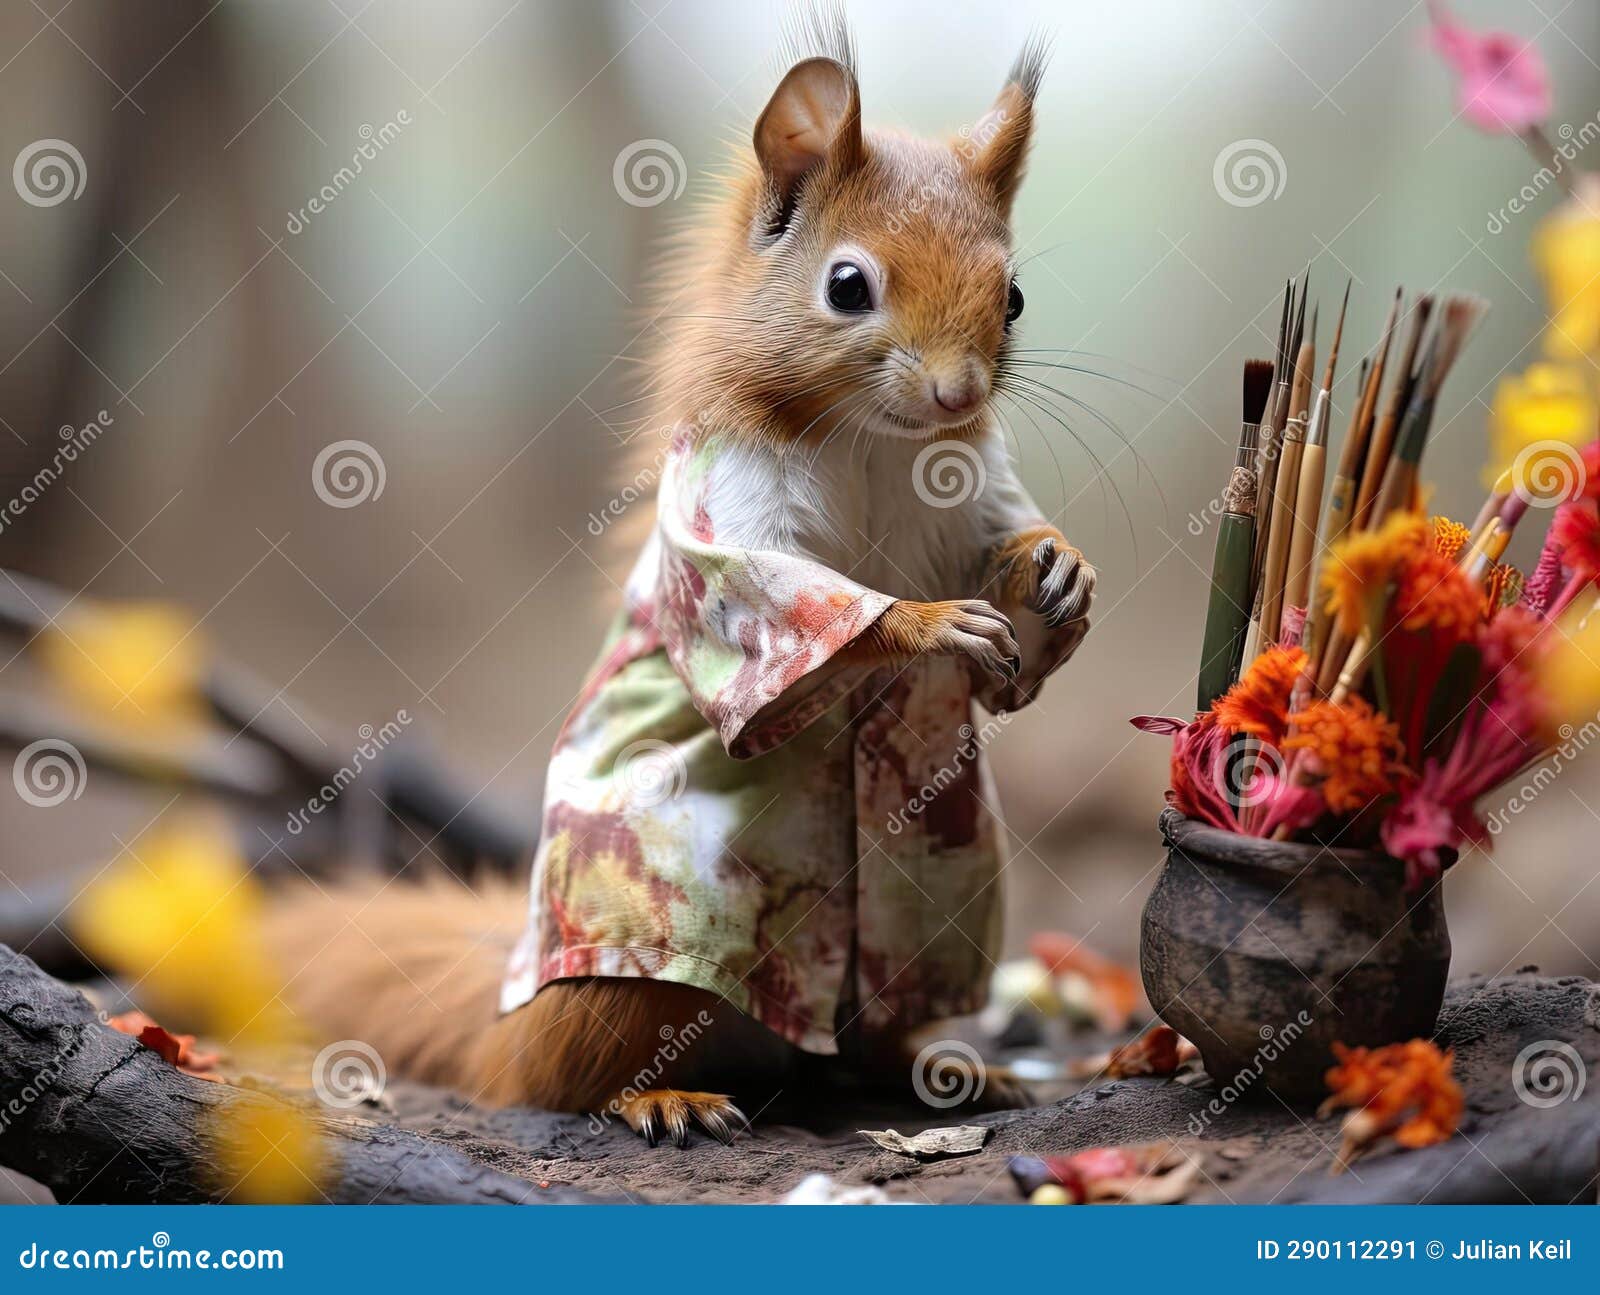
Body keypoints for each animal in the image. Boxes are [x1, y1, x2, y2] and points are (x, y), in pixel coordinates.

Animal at [266, 16, 1096, 1149]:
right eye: (847, 286)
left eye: (1011, 297)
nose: (956, 392)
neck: (874, 442)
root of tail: (509, 1019)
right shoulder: (722, 508)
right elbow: (781, 591)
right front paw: (931, 627)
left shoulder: (976, 493)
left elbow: (1008, 542)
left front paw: (1058, 569)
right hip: (640, 946)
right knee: (564, 1073)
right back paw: (661, 1094)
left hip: (929, 900)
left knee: (872, 1034)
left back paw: (948, 1069)